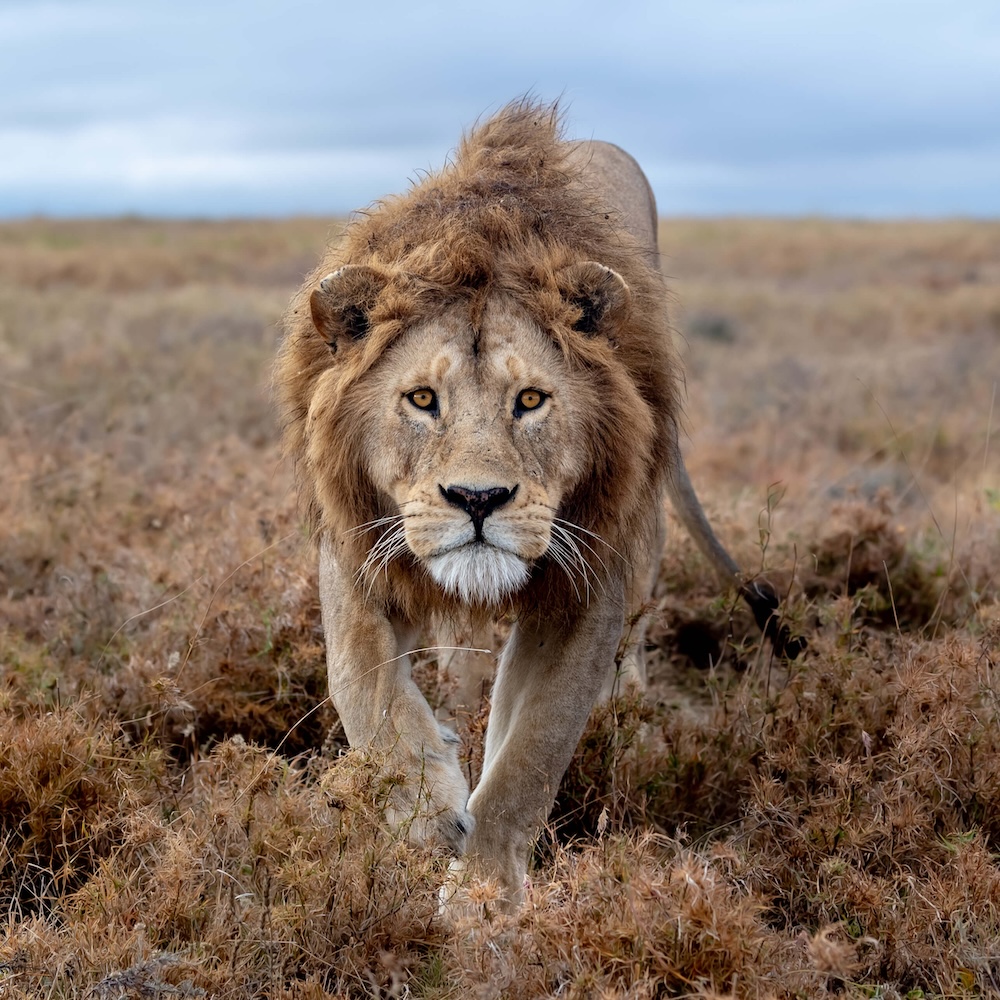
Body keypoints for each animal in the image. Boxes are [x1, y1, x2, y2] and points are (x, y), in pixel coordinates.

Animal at [275, 100, 799, 908]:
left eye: (530, 400)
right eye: (421, 399)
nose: (478, 498)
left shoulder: (585, 584)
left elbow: (529, 754)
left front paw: (482, 900)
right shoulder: (359, 554)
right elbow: (366, 692)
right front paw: (428, 815)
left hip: (645, 530)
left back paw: (627, 713)